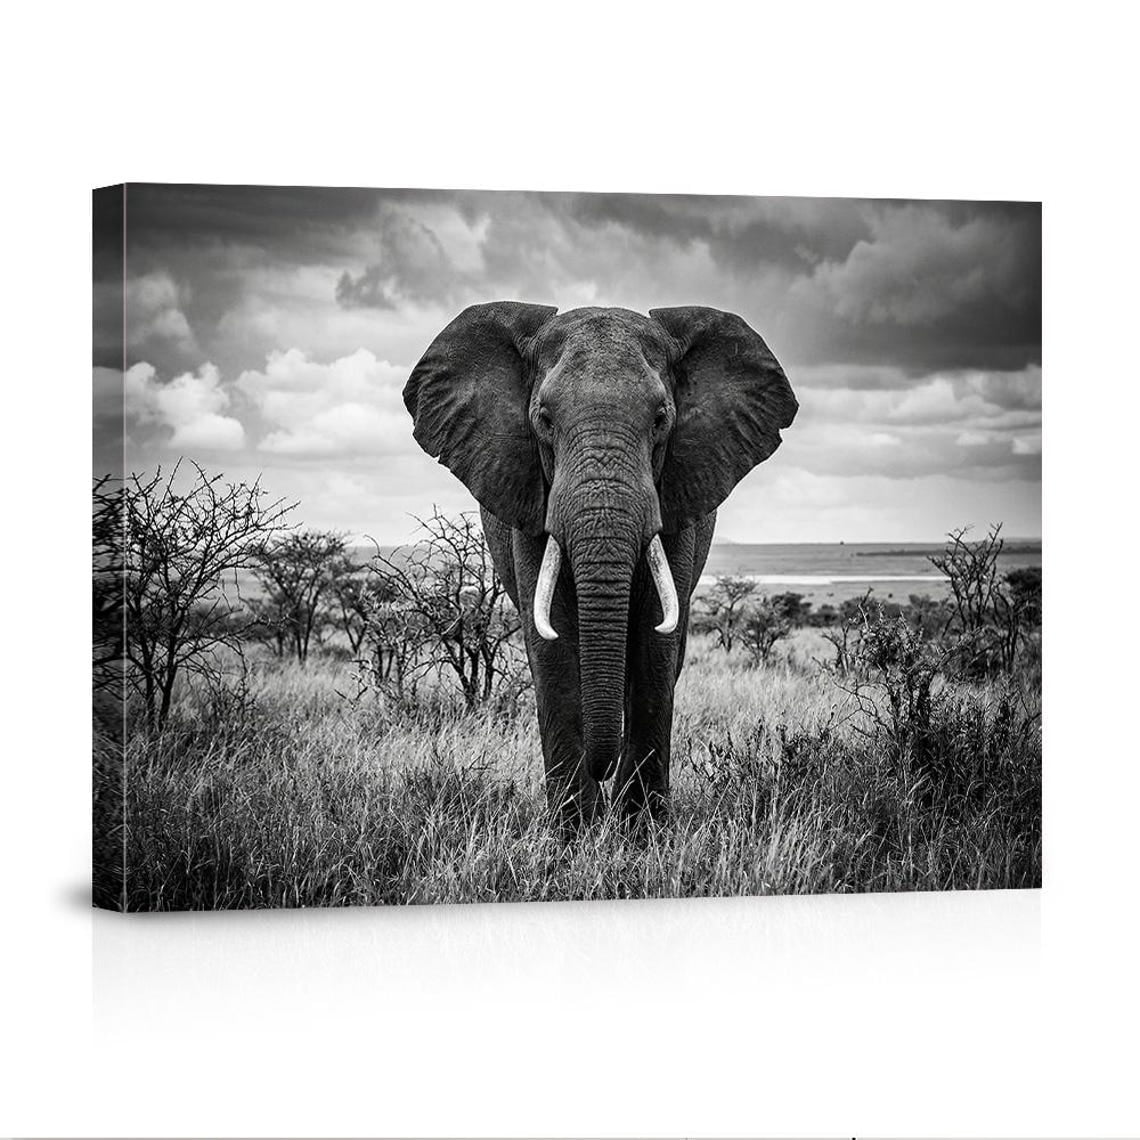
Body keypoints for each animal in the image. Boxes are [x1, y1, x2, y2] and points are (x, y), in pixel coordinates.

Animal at [403, 302, 797, 828]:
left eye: (661, 419)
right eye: (544, 419)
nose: (602, 767)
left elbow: (655, 641)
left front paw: (641, 829)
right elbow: (551, 642)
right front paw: (575, 832)